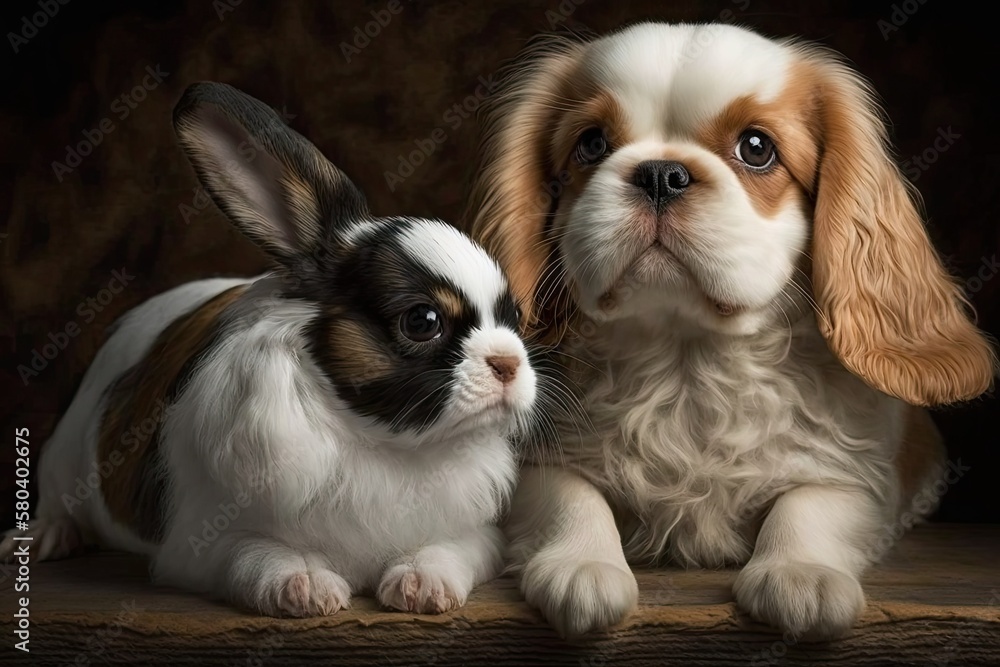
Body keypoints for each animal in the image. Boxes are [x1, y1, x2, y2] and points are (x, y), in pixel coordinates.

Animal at [0, 82, 538, 617]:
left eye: (513, 318)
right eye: (423, 321)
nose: (509, 364)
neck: (386, 443)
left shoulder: (480, 535)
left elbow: (453, 548)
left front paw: (423, 585)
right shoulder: (202, 544)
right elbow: (254, 552)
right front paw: (305, 586)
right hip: (64, 456)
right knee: (57, 501)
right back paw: (42, 538)